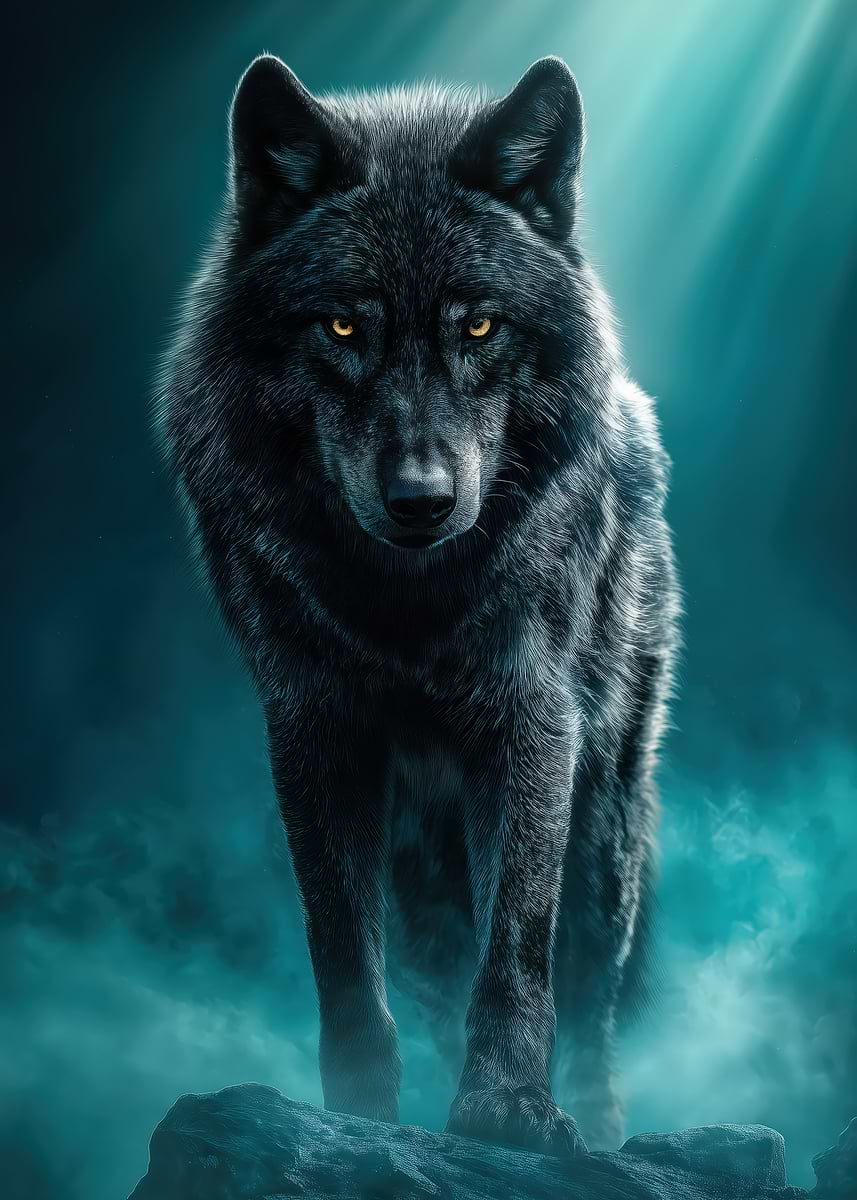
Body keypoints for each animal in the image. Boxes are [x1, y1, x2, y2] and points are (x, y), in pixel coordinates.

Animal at [157, 53, 679, 1156]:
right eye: (344, 323)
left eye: (477, 324)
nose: (420, 499)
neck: (407, 607)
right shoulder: (315, 729)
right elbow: (343, 961)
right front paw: (355, 1116)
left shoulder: (533, 723)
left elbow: (517, 948)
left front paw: (509, 1111)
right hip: (417, 866)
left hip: (607, 816)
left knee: (588, 983)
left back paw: (599, 1123)